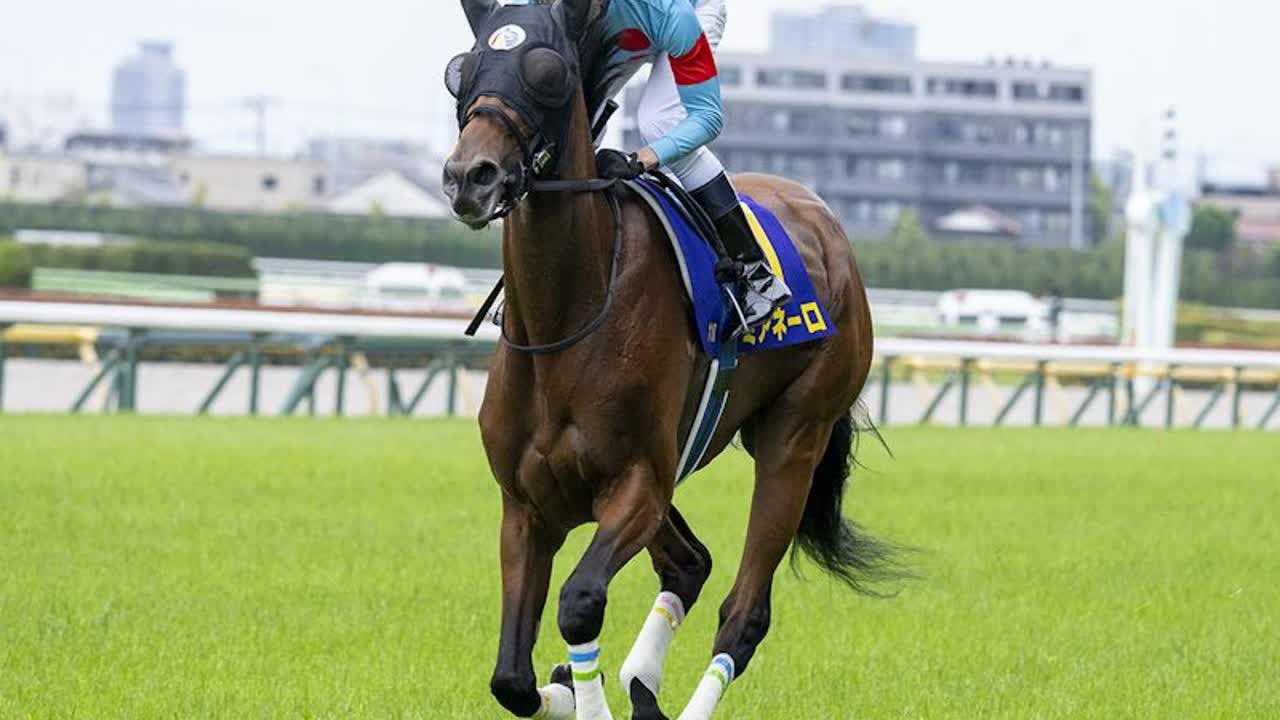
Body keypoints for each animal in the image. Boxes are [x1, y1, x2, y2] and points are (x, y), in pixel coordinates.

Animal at [443, 1, 899, 718]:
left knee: (744, 611)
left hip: (795, 435)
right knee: (691, 563)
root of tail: (825, 221)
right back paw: (640, 682)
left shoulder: (636, 484)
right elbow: (511, 680)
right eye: (460, 71)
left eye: (548, 73)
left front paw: (584, 690)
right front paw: (566, 685)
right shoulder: (527, 504)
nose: (470, 175)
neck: (565, 321)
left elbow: (579, 602)